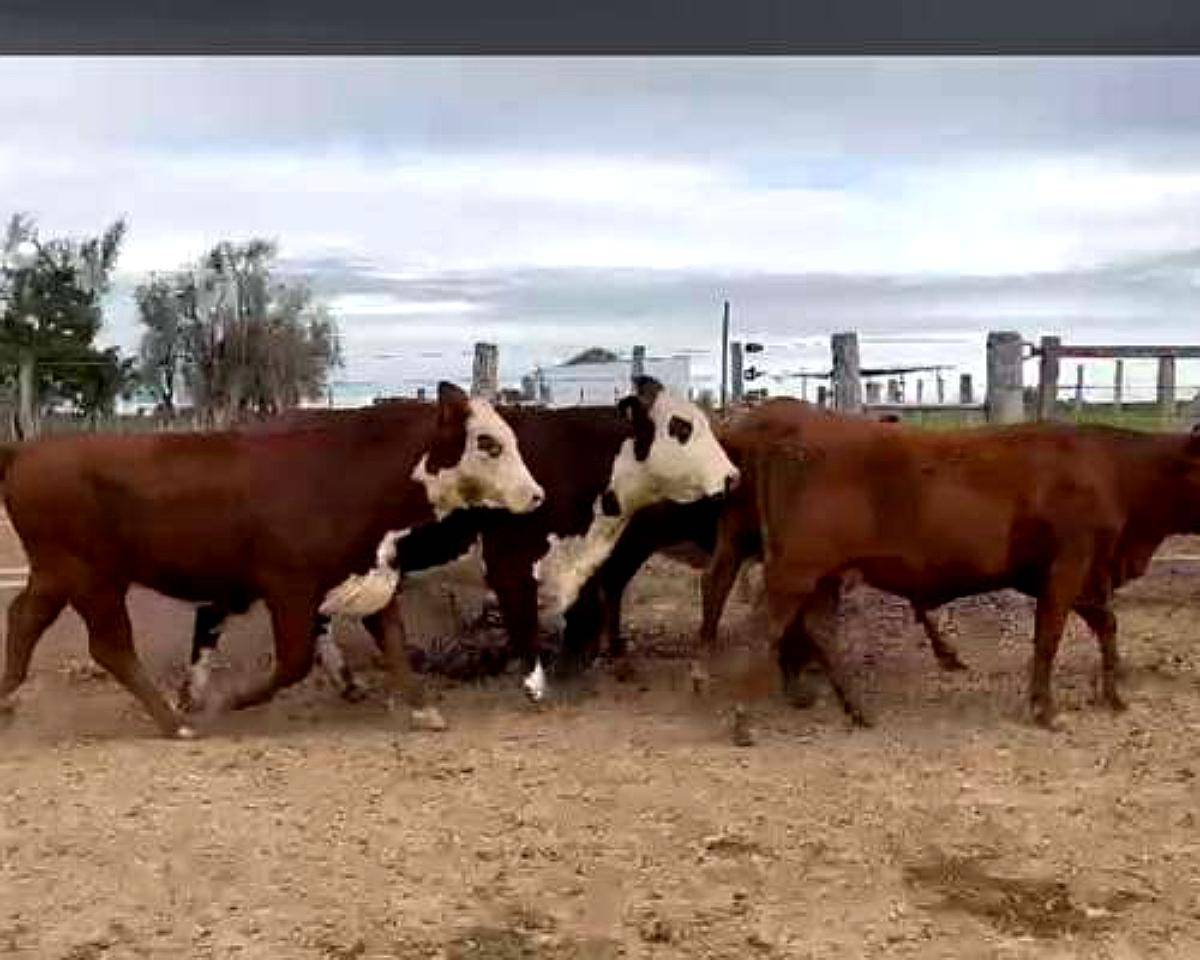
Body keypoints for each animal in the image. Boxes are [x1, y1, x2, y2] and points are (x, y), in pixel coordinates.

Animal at [0, 382, 545, 738]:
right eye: (488, 443)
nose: (537, 495)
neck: (346, 472)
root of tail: (27, 452)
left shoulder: (367, 577)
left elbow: (394, 643)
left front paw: (423, 709)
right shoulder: (289, 589)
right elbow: (294, 662)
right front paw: (231, 701)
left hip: (57, 574)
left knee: (24, 619)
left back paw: (6, 698)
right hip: (91, 577)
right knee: (109, 647)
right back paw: (175, 723)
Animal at [179, 376, 741, 708]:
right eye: (681, 427)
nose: (733, 477)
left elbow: (582, 623)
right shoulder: (511, 561)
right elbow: (526, 623)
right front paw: (535, 683)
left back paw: (344, 684)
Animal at [691, 398, 1200, 729]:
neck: (1111, 468)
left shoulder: (1071, 573)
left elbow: (1105, 624)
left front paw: (1113, 696)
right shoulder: (1068, 564)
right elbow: (1049, 636)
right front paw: (1046, 710)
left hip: (818, 574)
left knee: (810, 627)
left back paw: (856, 710)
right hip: (793, 570)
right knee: (761, 624)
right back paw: (741, 717)